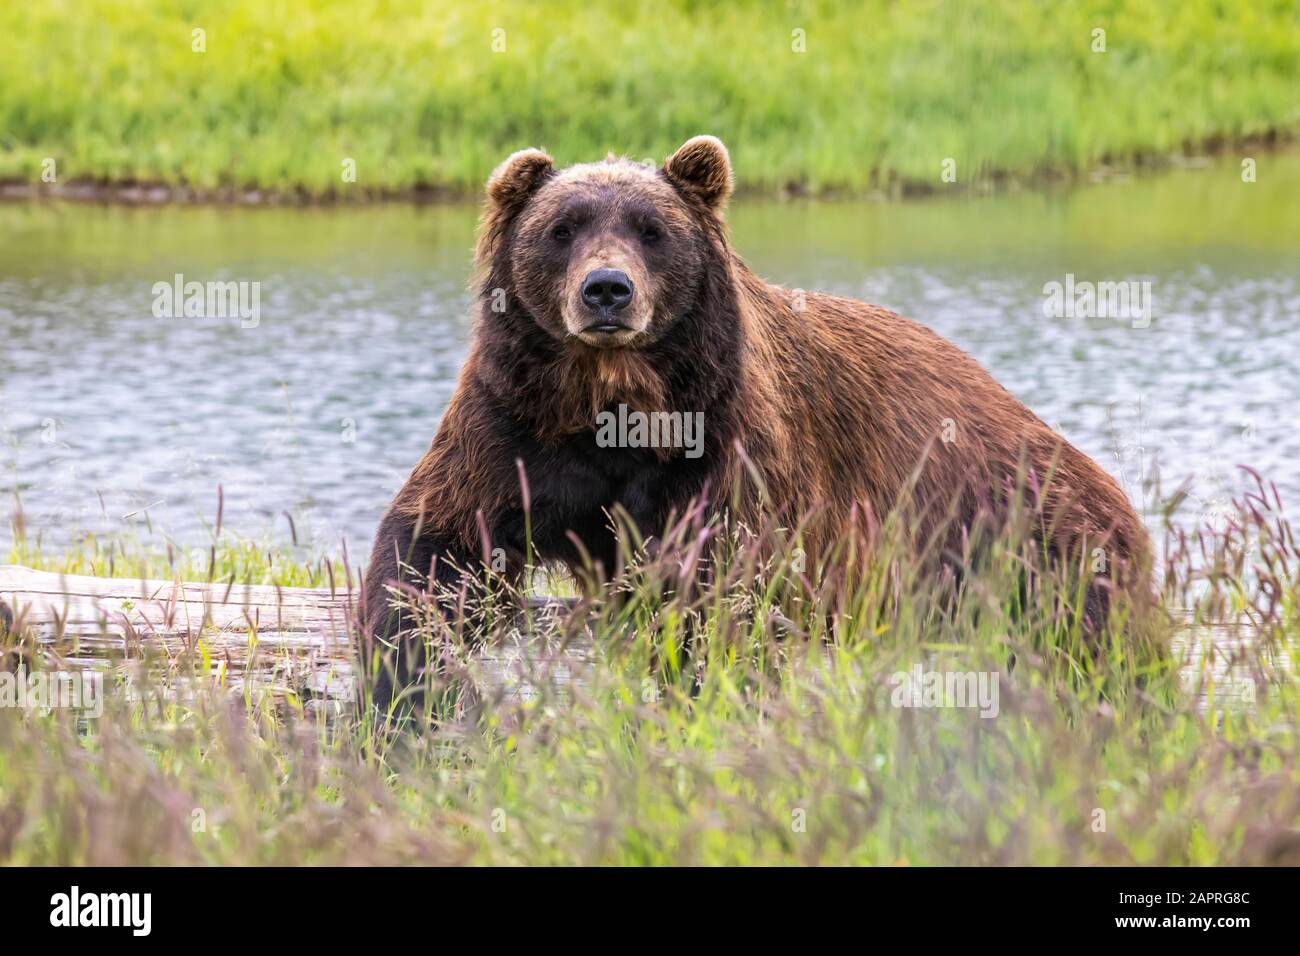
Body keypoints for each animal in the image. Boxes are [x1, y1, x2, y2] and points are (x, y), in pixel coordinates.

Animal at [360, 135, 1150, 713]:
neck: (611, 402)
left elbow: (723, 574)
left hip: (1015, 523)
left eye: (652, 230)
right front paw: (401, 689)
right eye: (562, 228)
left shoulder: (725, 435)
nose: (607, 290)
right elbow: (439, 543)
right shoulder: (513, 421)